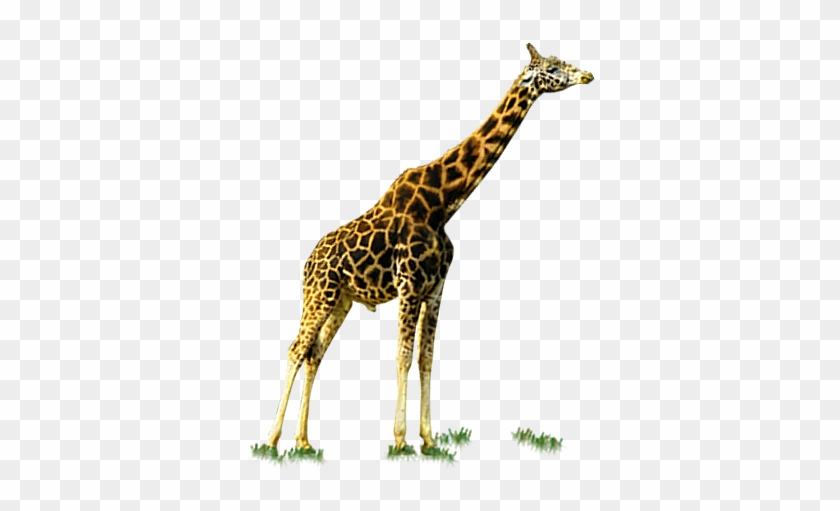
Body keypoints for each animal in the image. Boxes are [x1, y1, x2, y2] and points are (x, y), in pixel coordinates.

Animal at [265, 43, 594, 454]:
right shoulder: (409, 284)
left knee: (315, 354)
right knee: (297, 348)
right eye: (551, 67)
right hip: (319, 292)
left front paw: (429, 438)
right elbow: (404, 356)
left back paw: (305, 441)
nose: (587, 75)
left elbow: (426, 358)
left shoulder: (435, 288)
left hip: (342, 299)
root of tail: (308, 260)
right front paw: (400, 439)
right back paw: (273, 439)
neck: (444, 204)